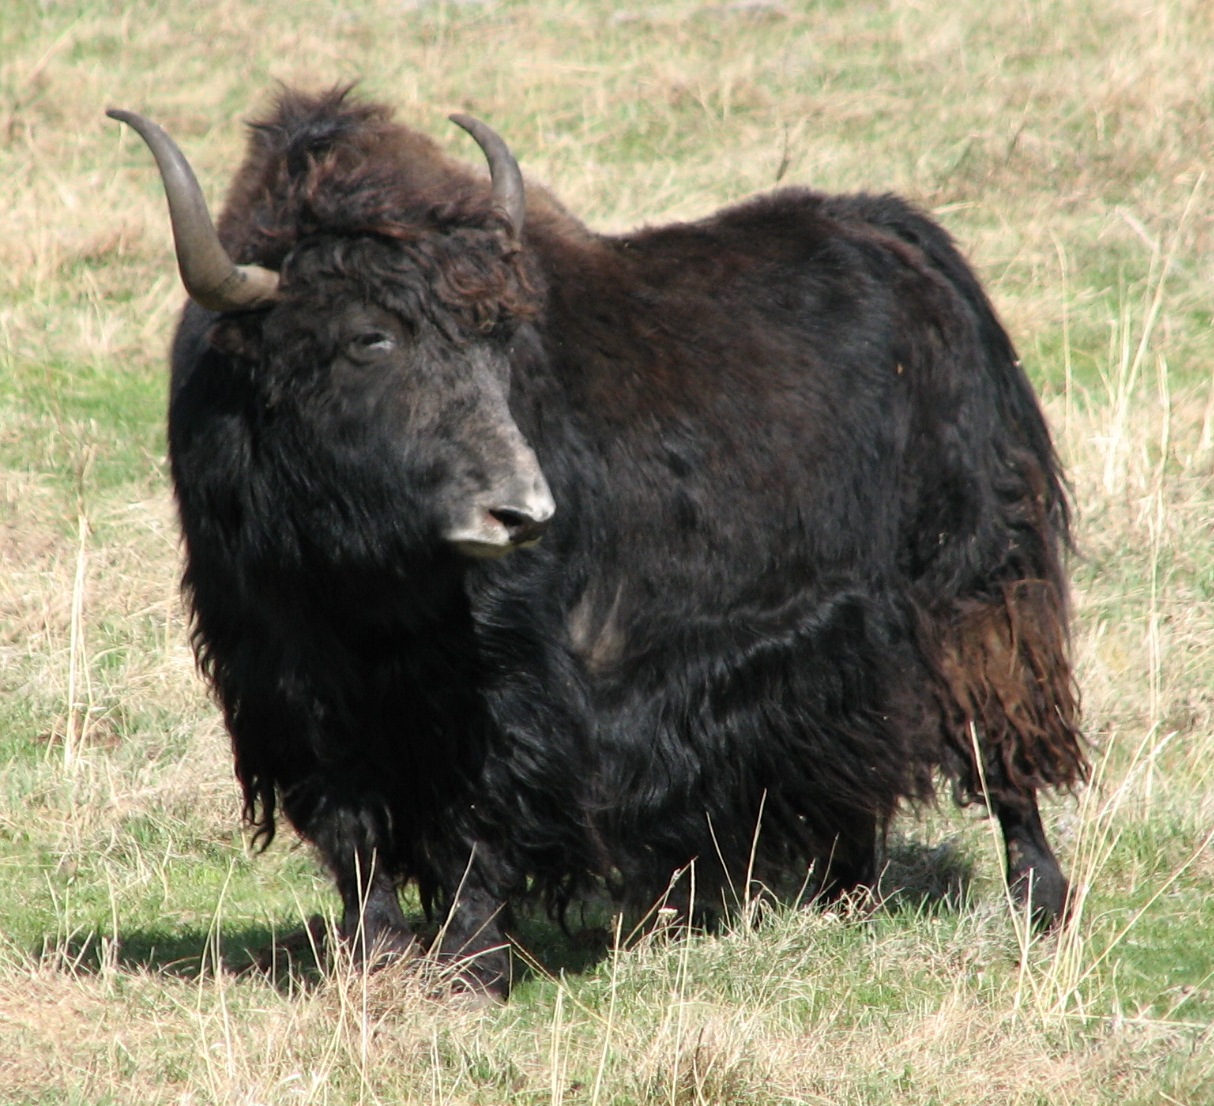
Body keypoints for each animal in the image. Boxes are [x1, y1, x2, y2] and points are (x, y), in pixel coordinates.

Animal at [108, 86, 1086, 998]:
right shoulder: (291, 682)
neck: (358, 581)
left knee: (999, 729)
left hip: (970, 578)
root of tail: (902, 235)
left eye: (496, 338)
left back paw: (1038, 898)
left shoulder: (507, 682)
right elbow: (353, 827)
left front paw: (472, 965)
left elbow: (478, 814)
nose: (525, 513)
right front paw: (377, 959)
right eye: (368, 339)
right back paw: (847, 893)